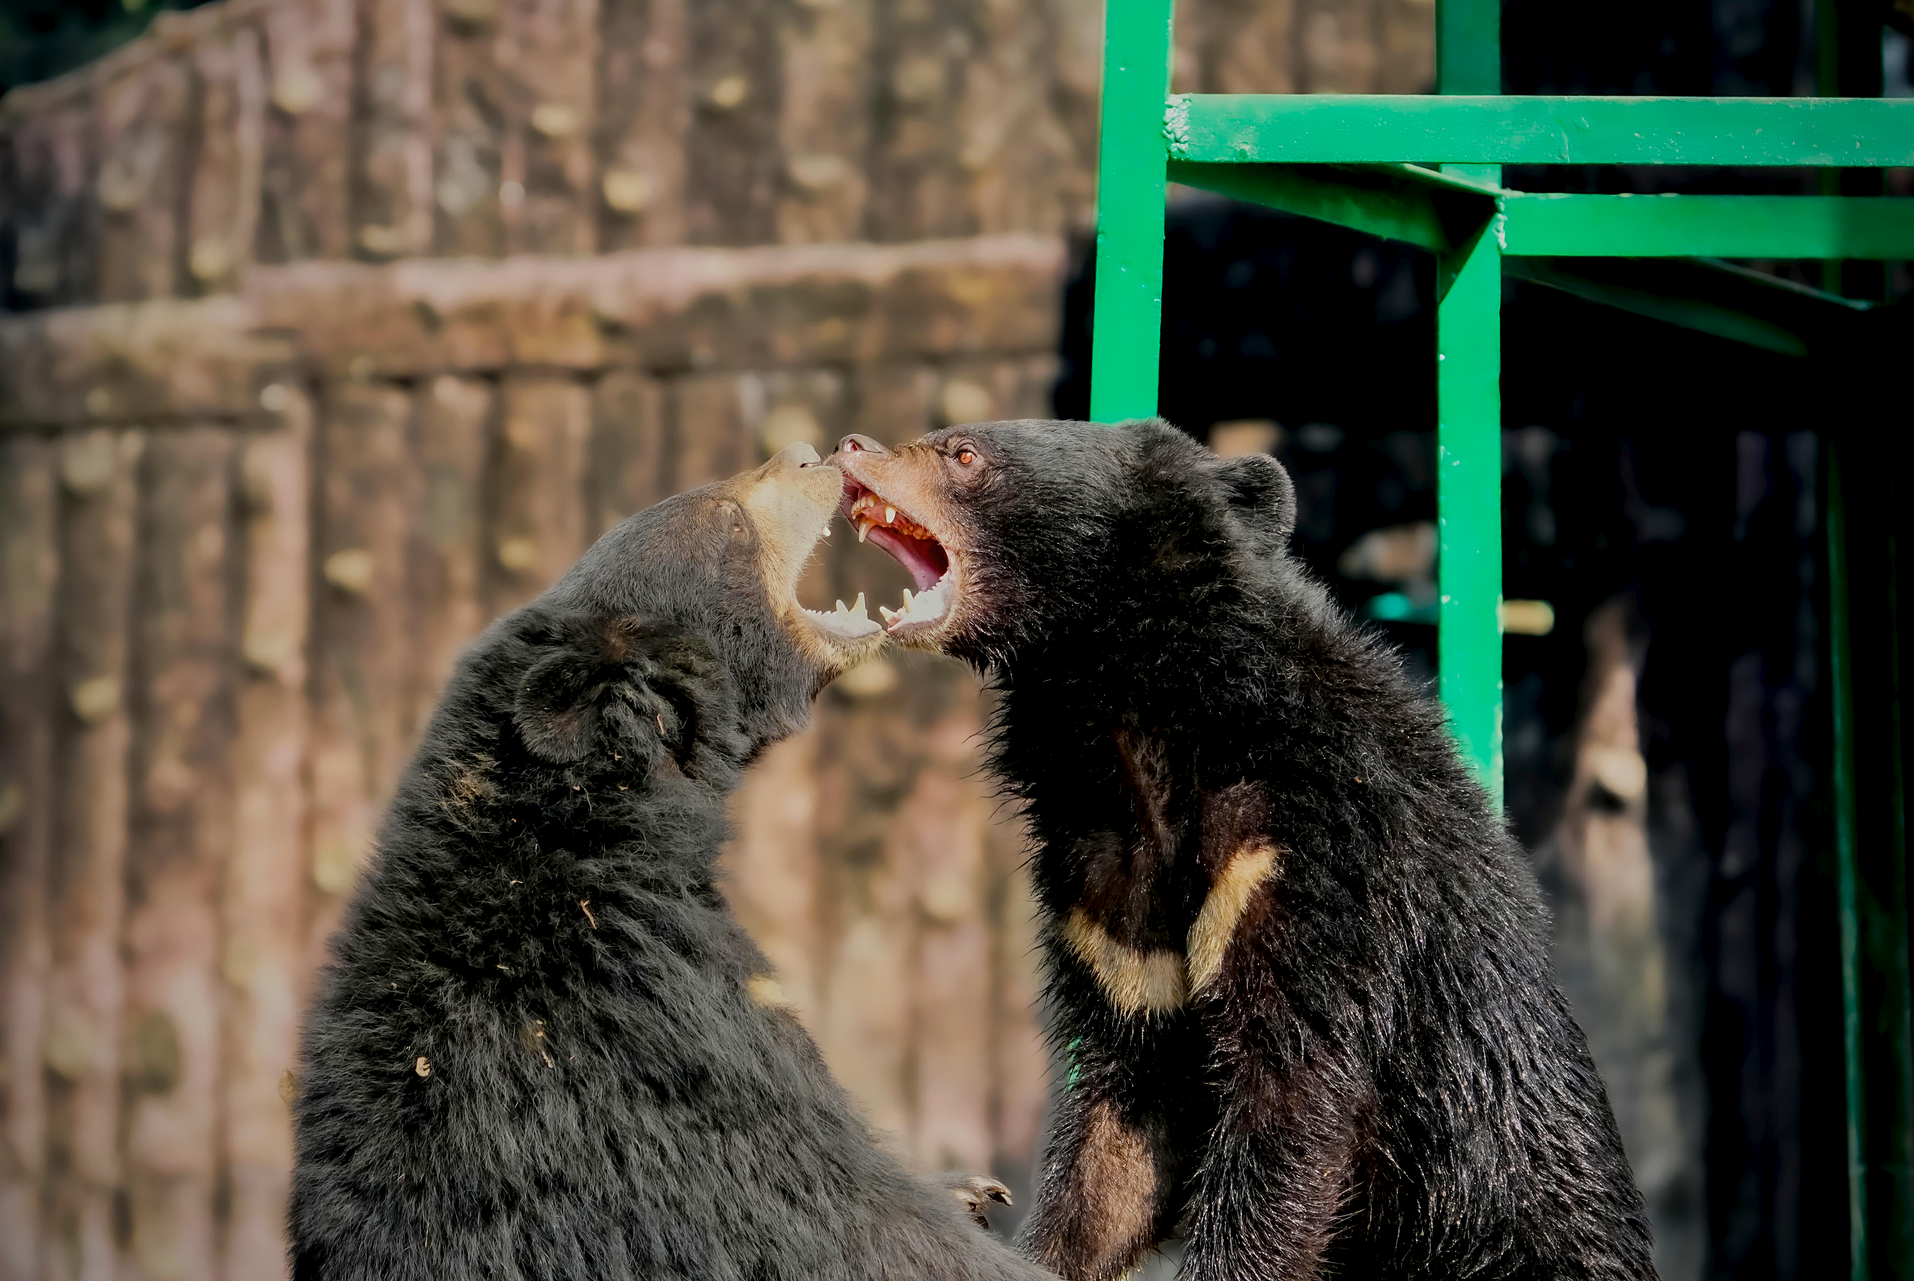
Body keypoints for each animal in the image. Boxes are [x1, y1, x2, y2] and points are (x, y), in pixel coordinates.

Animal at [827, 419, 1657, 1281]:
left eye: (963, 455)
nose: (850, 447)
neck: (1138, 715)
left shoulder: (1313, 865)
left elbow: (1289, 1104)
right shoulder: (1114, 890)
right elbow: (1126, 1122)